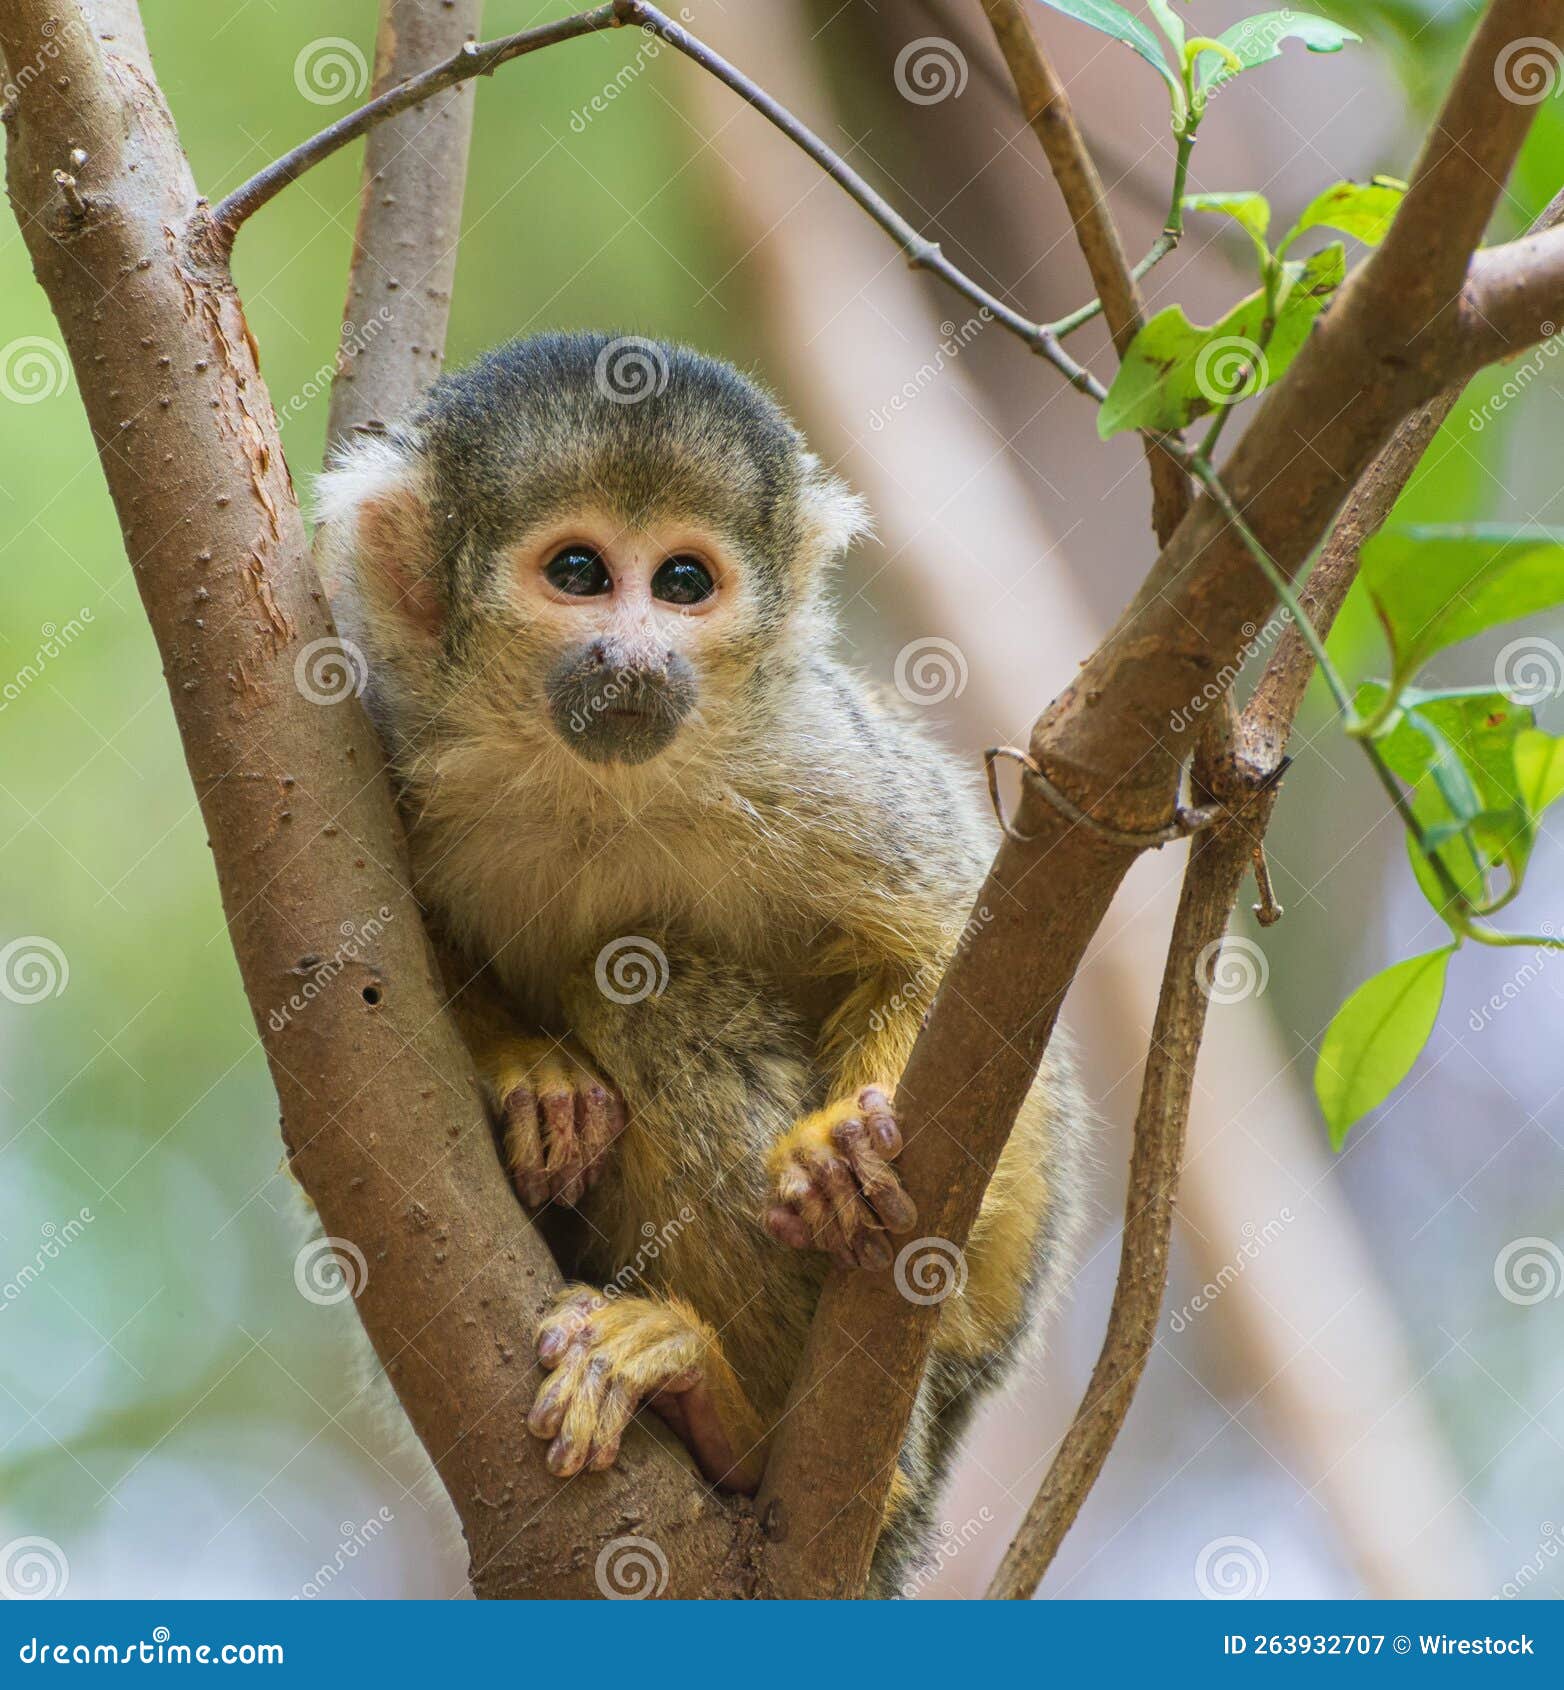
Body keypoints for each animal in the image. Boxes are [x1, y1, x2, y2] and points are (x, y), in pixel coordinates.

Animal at [314, 330, 1091, 1596]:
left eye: (683, 583)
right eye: (580, 571)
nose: (635, 656)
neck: (595, 787)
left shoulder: (805, 750)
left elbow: (962, 948)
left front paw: (840, 1145)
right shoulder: (383, 749)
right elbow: (369, 973)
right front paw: (530, 1074)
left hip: (967, 1333)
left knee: (645, 985)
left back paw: (751, 1425)